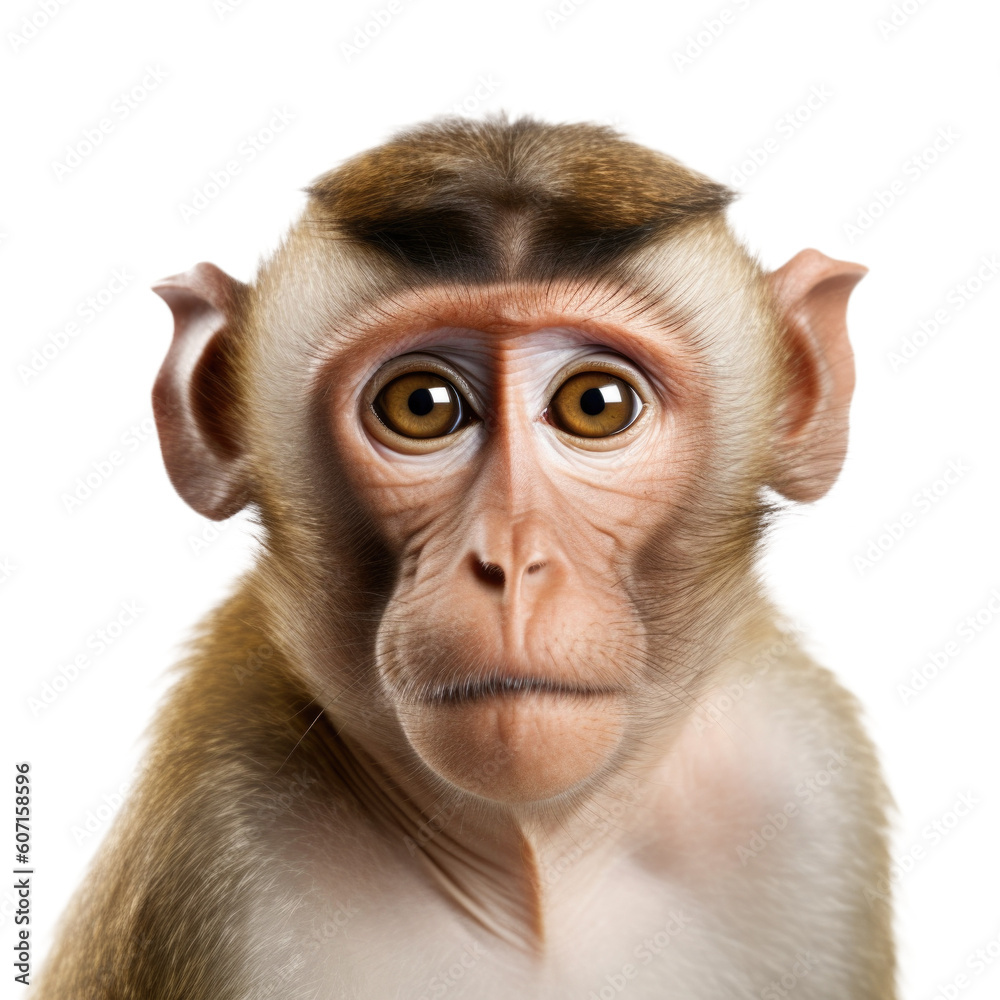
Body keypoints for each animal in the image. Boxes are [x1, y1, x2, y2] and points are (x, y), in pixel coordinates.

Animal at [35, 114, 894, 1000]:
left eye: (596, 404)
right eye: (422, 405)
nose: (511, 563)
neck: (535, 874)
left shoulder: (803, 781)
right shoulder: (221, 852)